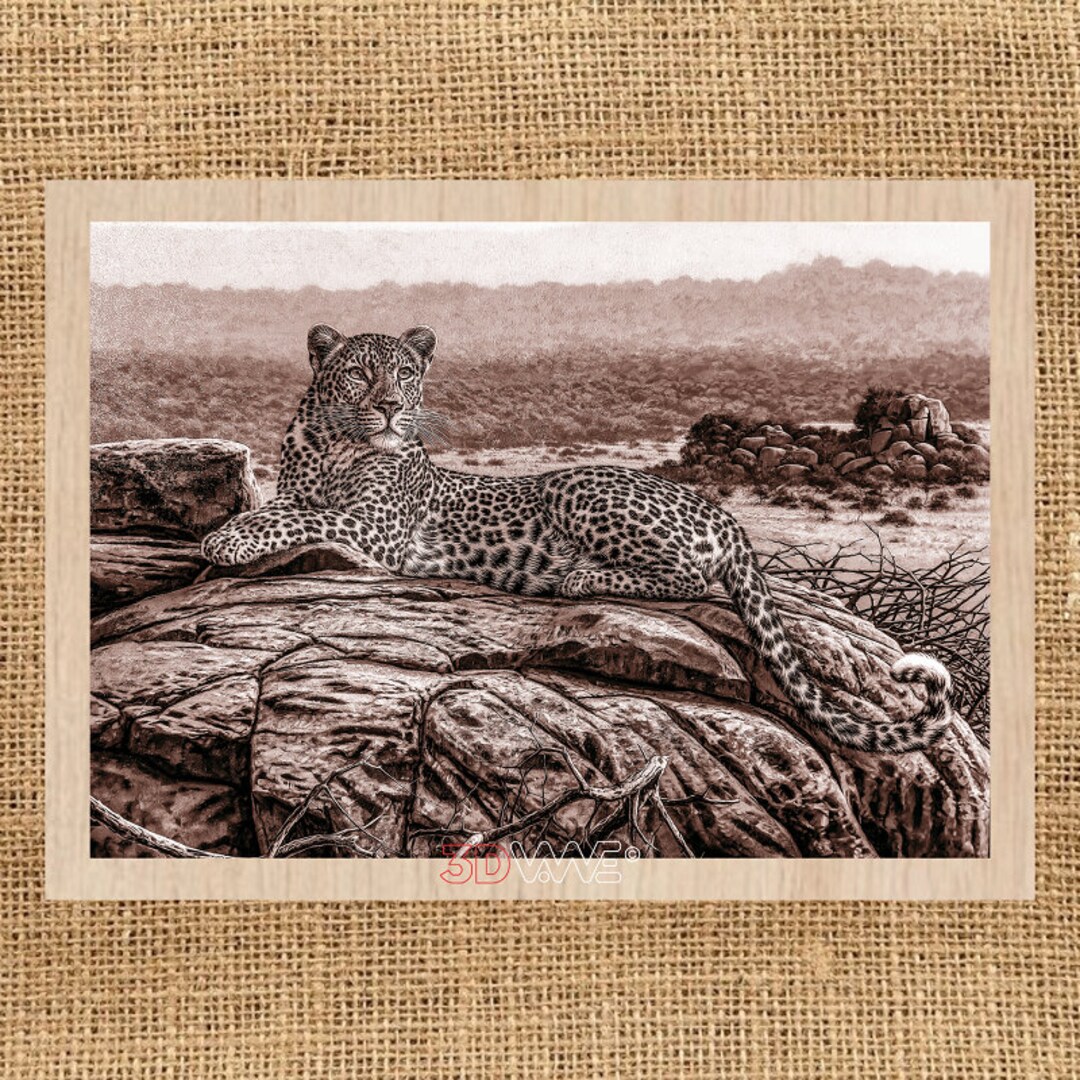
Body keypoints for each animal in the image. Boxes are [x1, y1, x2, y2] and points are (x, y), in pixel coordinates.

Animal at [202, 323, 953, 754]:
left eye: (407, 373)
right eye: (360, 371)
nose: (389, 405)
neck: (335, 444)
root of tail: (723, 513)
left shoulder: (376, 528)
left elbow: (299, 519)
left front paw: (227, 541)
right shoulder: (312, 495)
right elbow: (288, 508)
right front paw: (228, 533)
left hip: (577, 489)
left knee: (688, 575)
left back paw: (580, 575)